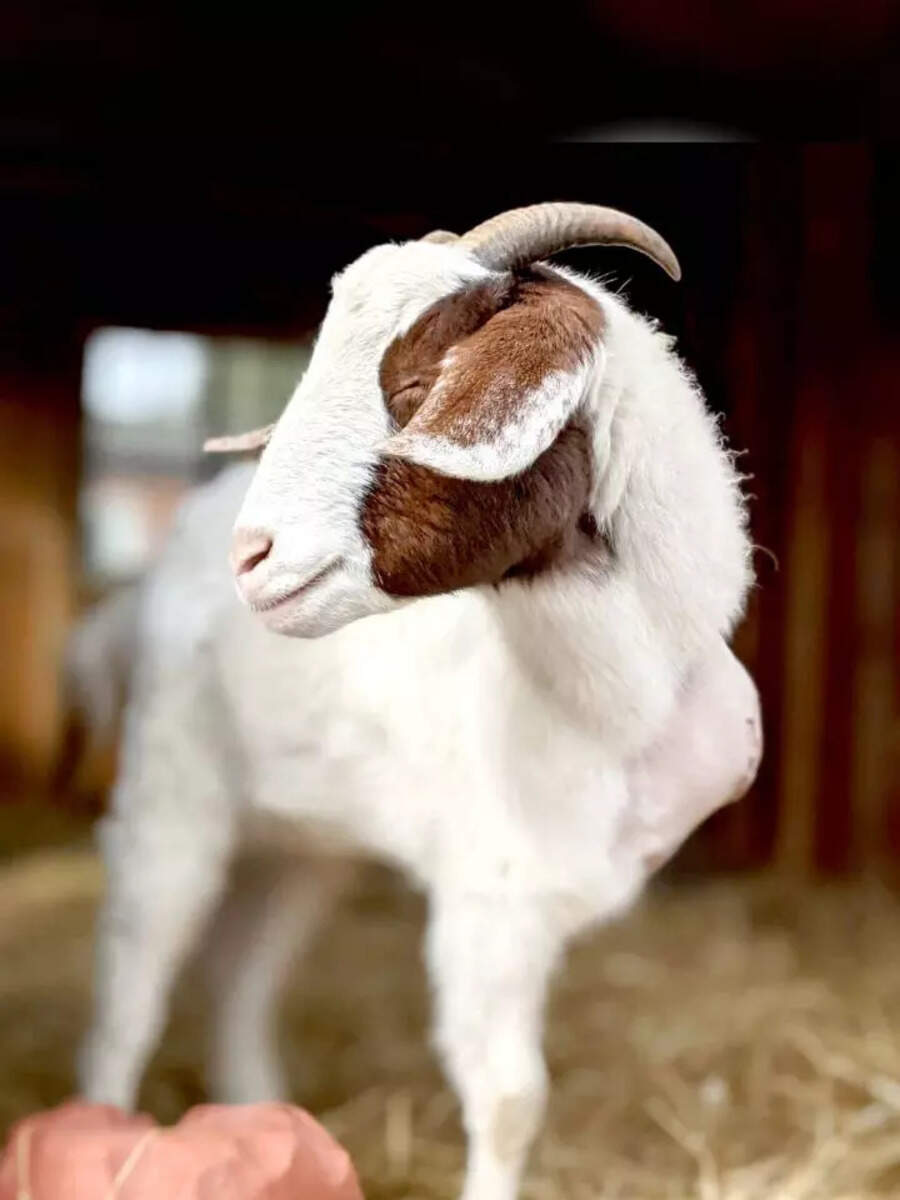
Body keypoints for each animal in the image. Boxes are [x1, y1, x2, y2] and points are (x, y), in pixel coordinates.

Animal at [77, 203, 762, 1200]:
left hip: (304, 841)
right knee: (131, 989)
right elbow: (510, 1099)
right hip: (173, 795)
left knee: (240, 968)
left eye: (421, 381)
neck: (614, 715)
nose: (254, 556)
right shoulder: (489, 899)